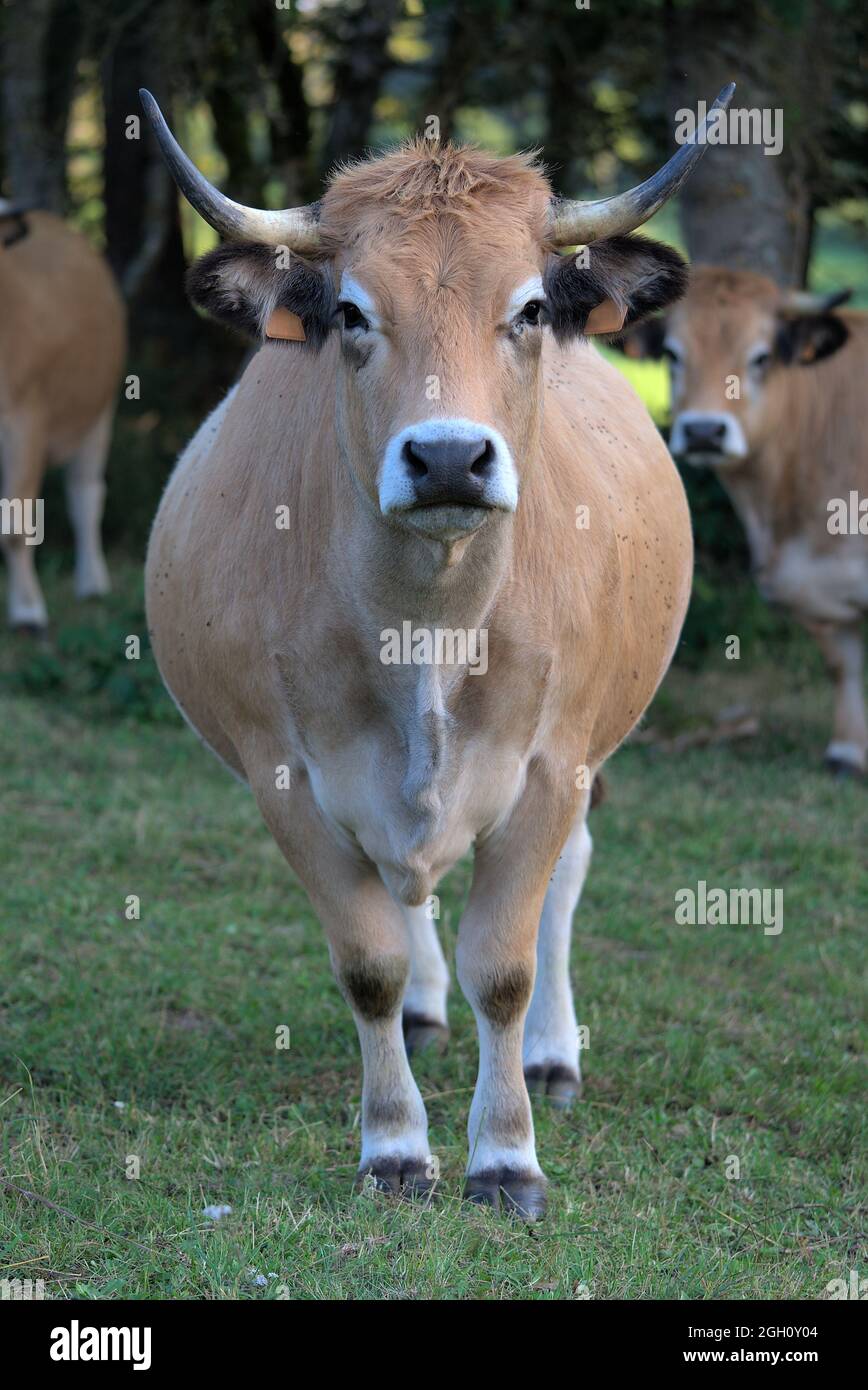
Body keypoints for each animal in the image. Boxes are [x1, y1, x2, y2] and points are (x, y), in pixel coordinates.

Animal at [0, 201, 125, 630]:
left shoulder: (23, 420)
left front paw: (27, 611)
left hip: (100, 409)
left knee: (86, 494)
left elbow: (15, 525)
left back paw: (92, 581)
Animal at [142, 84, 733, 1218]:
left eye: (532, 309)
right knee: (403, 892)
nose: (450, 456)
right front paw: (395, 1147)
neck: (427, 623)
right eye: (352, 313)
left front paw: (506, 1155)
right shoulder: (289, 781)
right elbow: (366, 961)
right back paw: (422, 1013)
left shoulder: (550, 767)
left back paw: (552, 1052)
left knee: (566, 882)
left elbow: (503, 963)